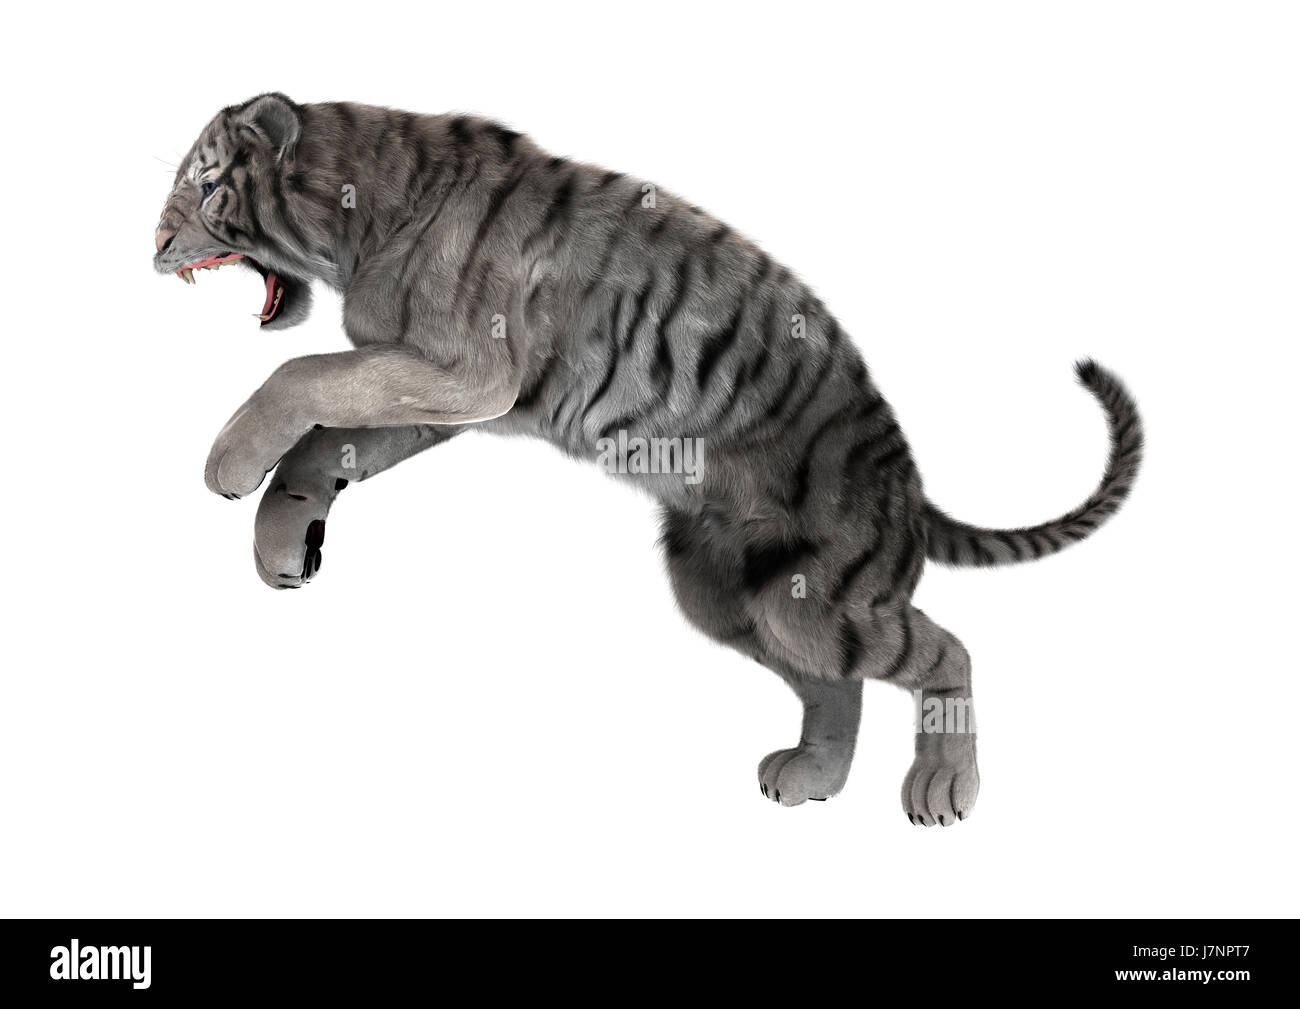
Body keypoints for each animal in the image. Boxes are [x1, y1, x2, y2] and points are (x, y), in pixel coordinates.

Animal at [153, 94, 1143, 824]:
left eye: (206, 183)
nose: (154, 244)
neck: (355, 214)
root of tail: (911, 481)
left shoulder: (467, 372)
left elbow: (300, 374)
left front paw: (228, 464)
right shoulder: (444, 392)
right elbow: (327, 433)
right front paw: (284, 539)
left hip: (828, 601)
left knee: (947, 649)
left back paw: (943, 787)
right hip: (739, 595)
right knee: (837, 686)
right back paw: (812, 780)